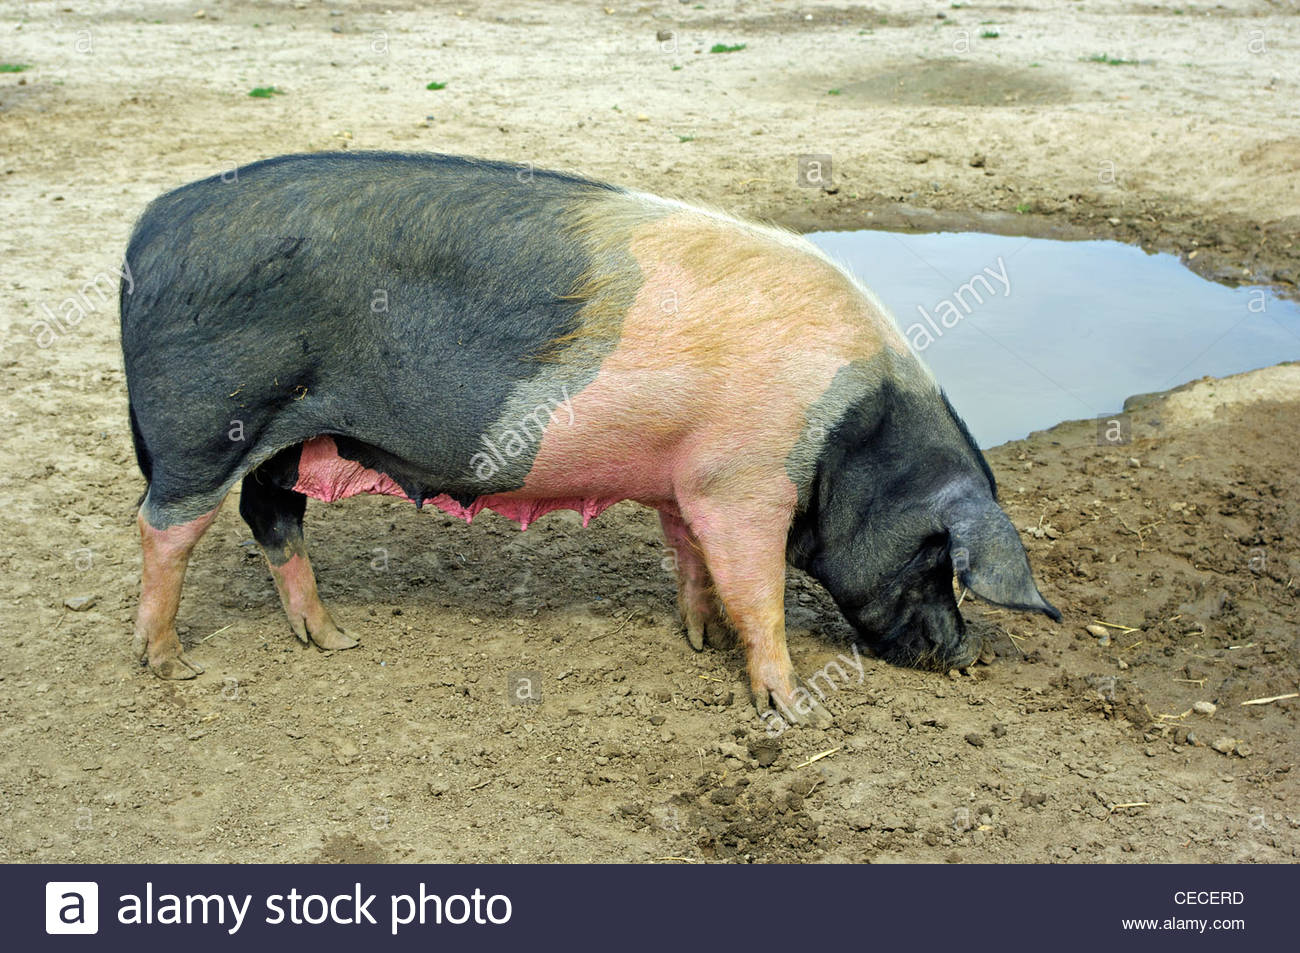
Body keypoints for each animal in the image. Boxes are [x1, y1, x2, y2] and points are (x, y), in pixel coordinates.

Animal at [121, 151, 1059, 725]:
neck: (847, 436)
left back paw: (334, 639)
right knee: (163, 524)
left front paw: (700, 639)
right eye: (938, 559)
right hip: (207, 424)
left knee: (270, 518)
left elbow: (691, 557)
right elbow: (758, 591)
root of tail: (146, 230)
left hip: (281, 438)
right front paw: (792, 708)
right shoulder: (745, 483)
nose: (966, 654)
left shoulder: (691, 479)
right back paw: (169, 664)